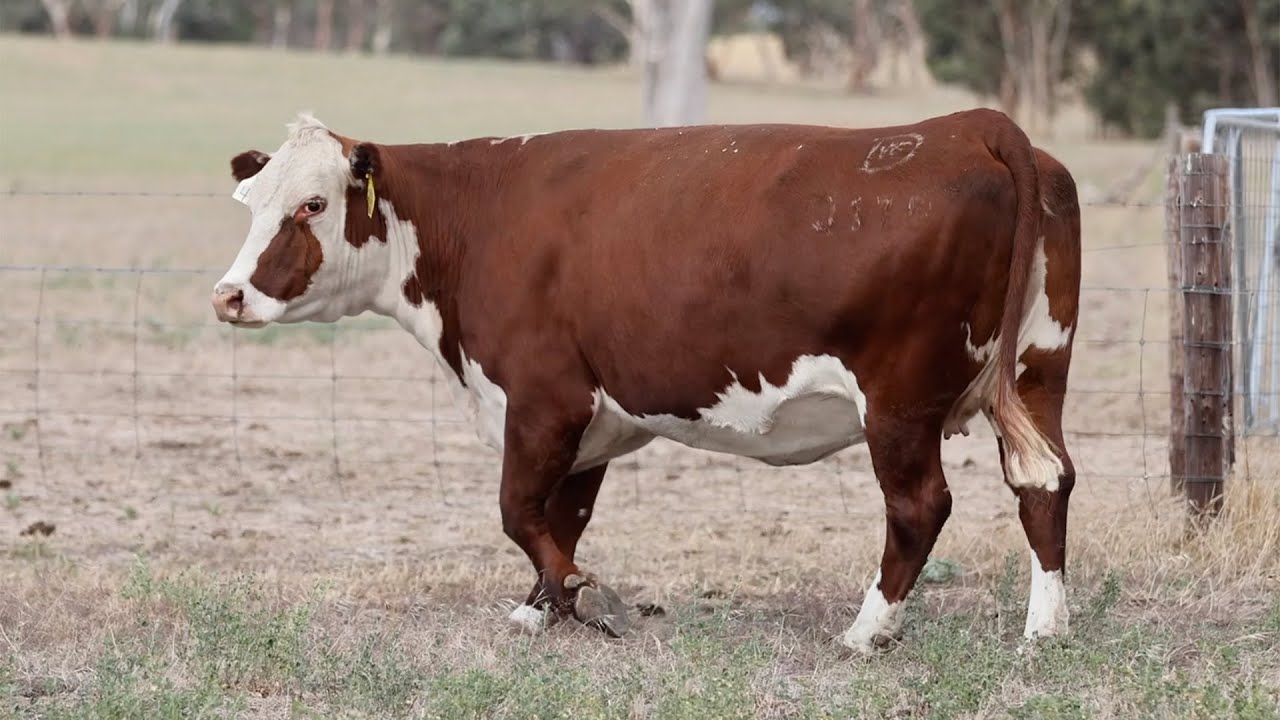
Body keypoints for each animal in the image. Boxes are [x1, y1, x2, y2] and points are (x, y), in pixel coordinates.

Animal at [211, 108, 1081, 654]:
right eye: (250, 201)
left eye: (312, 204)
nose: (228, 295)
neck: (474, 216)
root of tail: (970, 126)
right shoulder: (592, 419)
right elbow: (563, 516)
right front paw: (544, 608)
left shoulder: (543, 399)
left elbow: (519, 510)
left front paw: (585, 598)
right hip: (1038, 370)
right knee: (1044, 481)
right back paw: (1046, 628)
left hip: (898, 404)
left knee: (919, 506)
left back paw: (868, 631)